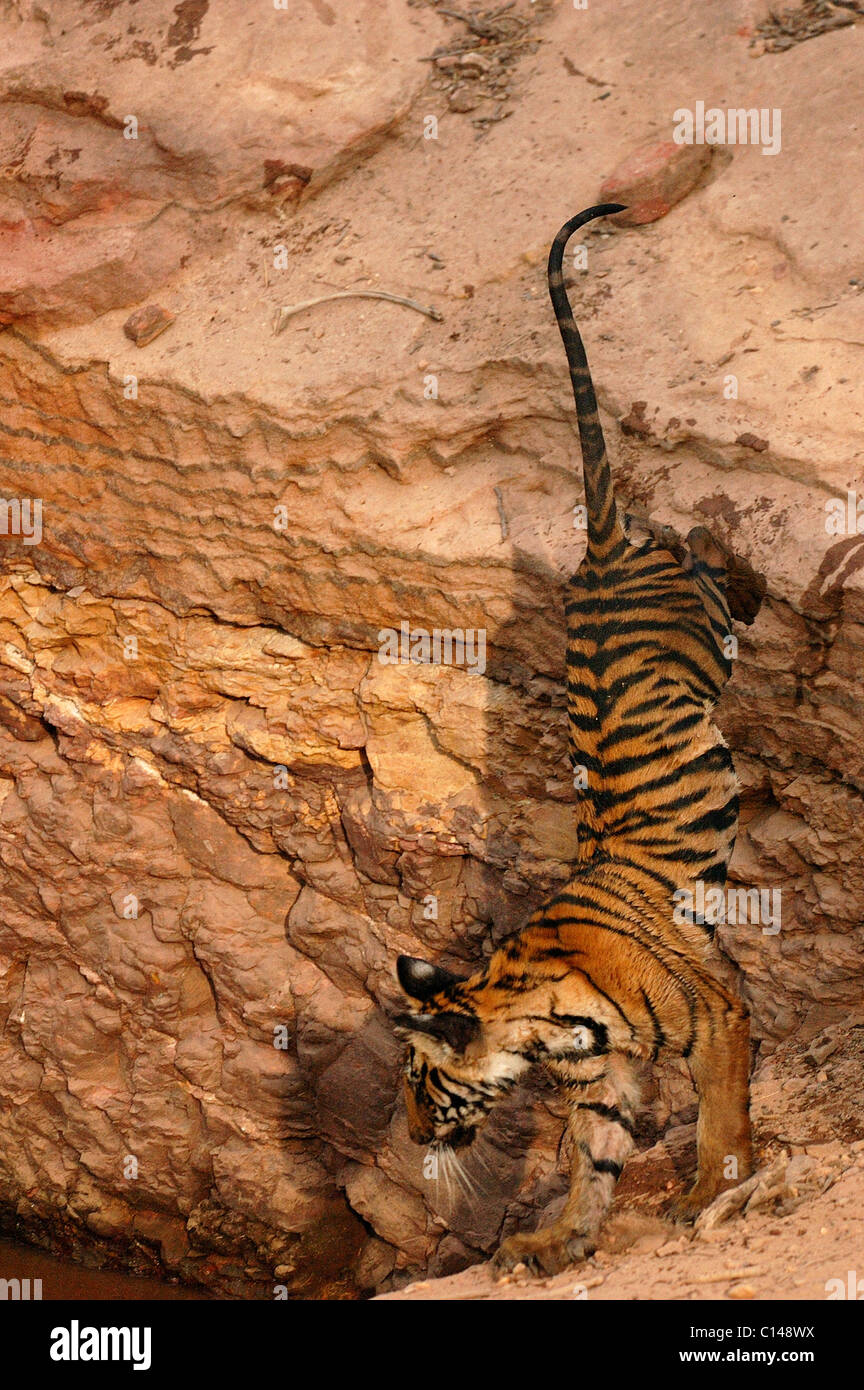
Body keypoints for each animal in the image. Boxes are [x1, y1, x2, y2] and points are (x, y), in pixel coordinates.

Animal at [391, 204, 763, 1276]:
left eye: (422, 1089)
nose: (416, 1137)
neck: (545, 1025)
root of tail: (595, 549)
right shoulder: (611, 1079)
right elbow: (590, 1159)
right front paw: (557, 1242)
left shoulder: (718, 1019)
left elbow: (721, 1116)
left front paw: (713, 1190)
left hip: (704, 622)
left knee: (700, 550)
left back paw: (750, 579)